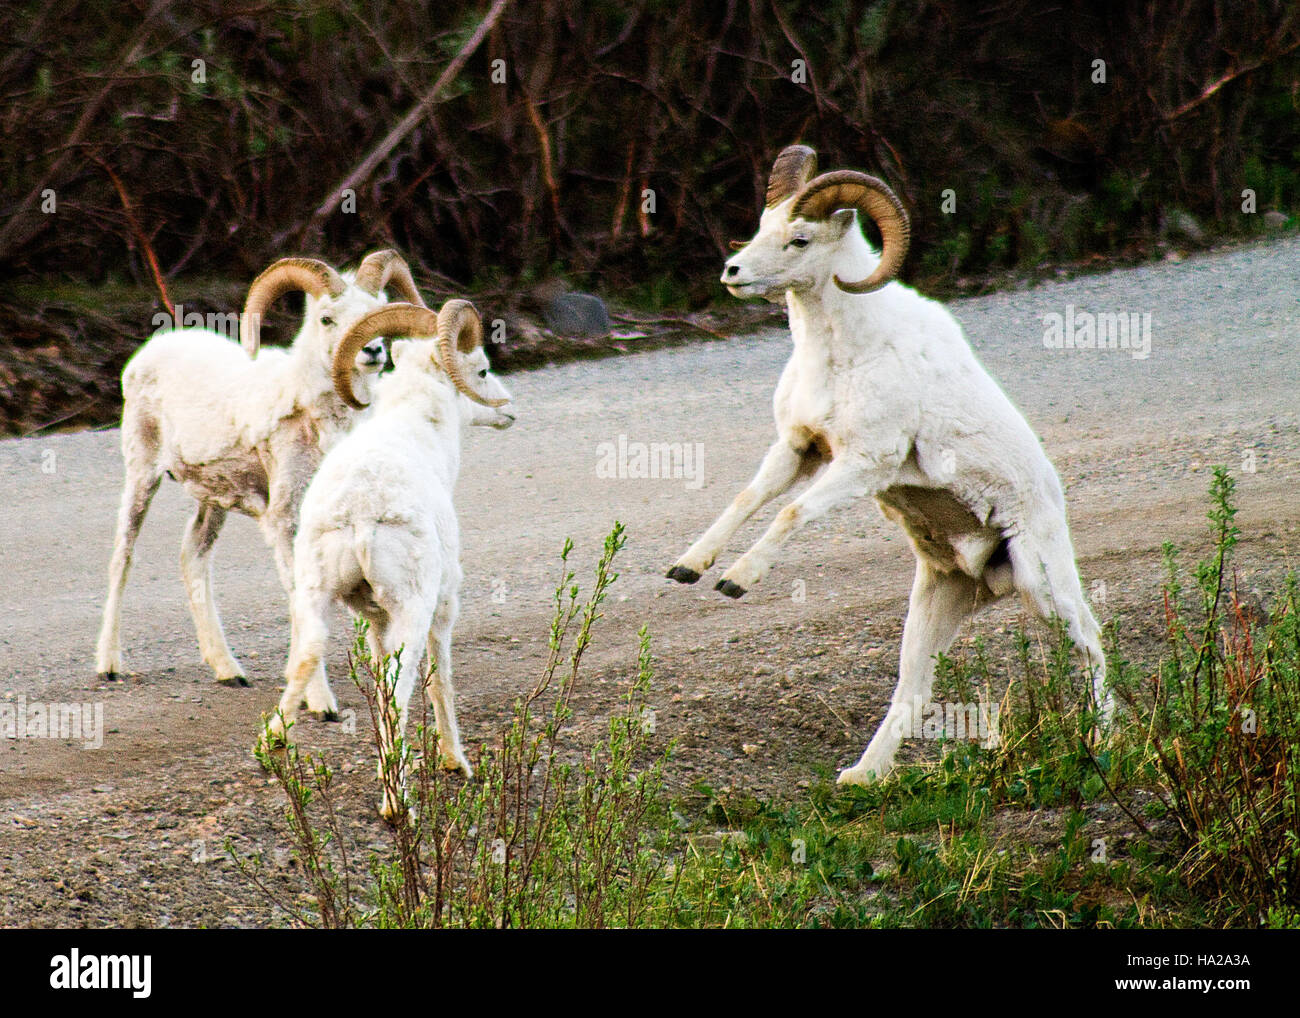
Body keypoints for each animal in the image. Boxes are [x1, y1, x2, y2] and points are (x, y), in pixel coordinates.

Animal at [94, 250, 426, 691]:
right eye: (327, 319)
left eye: (376, 311)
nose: (370, 351)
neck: (319, 422)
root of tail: (150, 352)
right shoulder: (284, 519)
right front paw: (320, 701)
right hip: (142, 474)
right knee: (122, 557)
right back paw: (109, 664)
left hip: (213, 498)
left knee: (192, 556)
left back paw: (229, 671)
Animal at [261, 299, 514, 818]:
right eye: (482, 369)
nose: (510, 409)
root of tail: (361, 512)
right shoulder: (442, 607)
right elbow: (439, 681)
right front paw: (456, 762)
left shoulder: (374, 618)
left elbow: (376, 686)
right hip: (411, 609)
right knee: (402, 689)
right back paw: (398, 806)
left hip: (315, 591)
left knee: (307, 652)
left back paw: (272, 740)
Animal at [666, 144, 1110, 785]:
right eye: (761, 225)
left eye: (799, 239)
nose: (733, 272)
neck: (840, 354)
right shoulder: (800, 449)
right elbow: (749, 499)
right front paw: (688, 568)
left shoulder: (863, 465)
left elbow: (791, 513)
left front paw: (736, 582)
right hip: (934, 600)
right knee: (914, 687)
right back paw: (860, 778)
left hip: (1044, 585)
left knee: (1092, 643)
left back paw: (1108, 740)